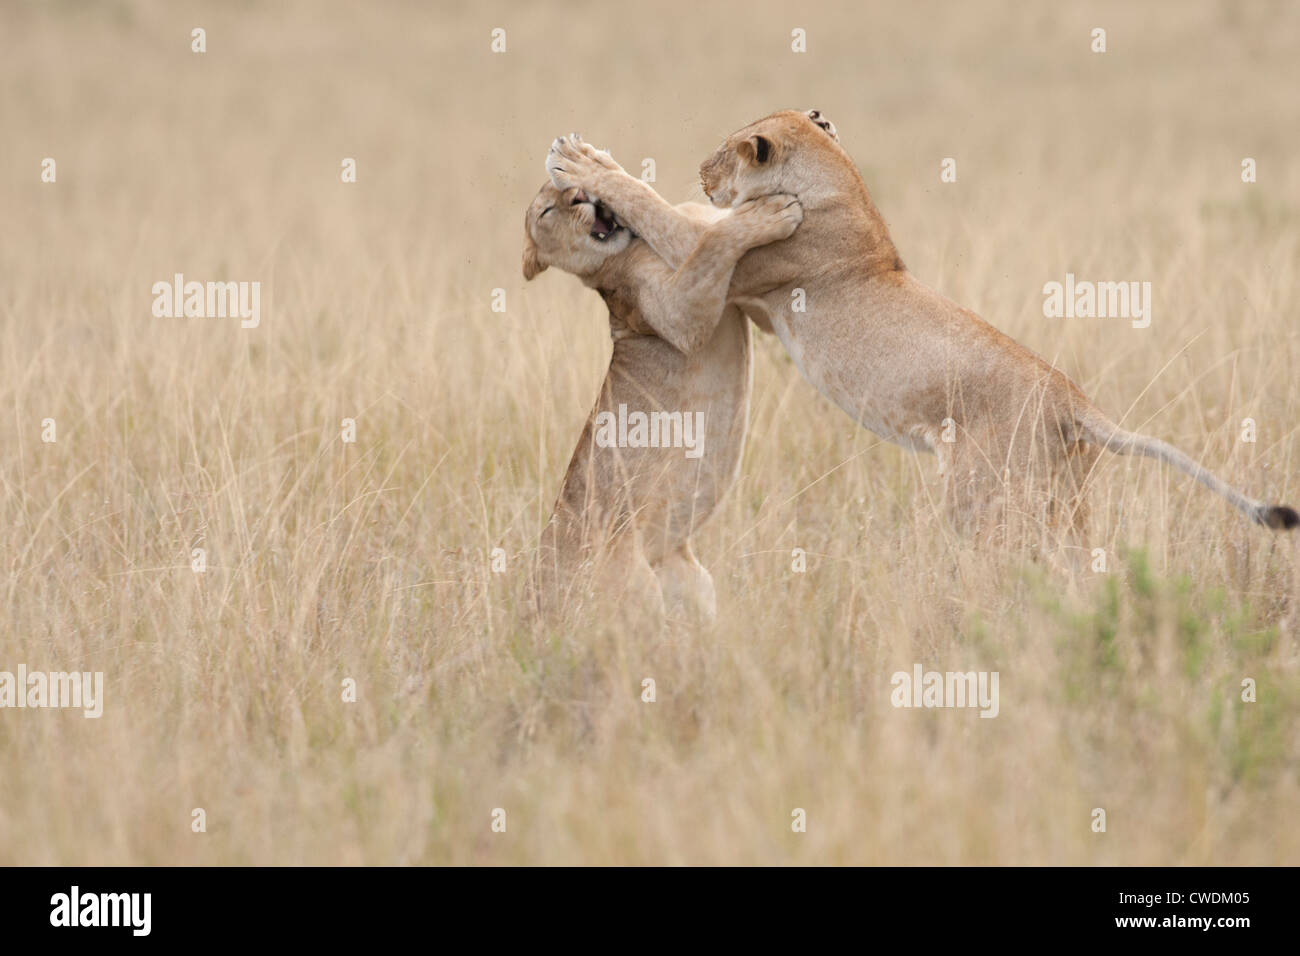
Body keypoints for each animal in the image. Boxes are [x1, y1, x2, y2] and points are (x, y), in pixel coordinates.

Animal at [523, 176, 802, 625]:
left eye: (565, 186)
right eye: (548, 211)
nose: (581, 196)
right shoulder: (679, 311)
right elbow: (711, 244)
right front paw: (771, 213)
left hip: (693, 584)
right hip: (634, 585)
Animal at [546, 116, 1297, 540]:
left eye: (726, 153)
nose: (702, 172)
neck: (843, 184)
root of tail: (1076, 403)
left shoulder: (733, 266)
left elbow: (657, 207)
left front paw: (586, 165)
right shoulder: (745, 292)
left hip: (981, 498)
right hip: (1063, 499)